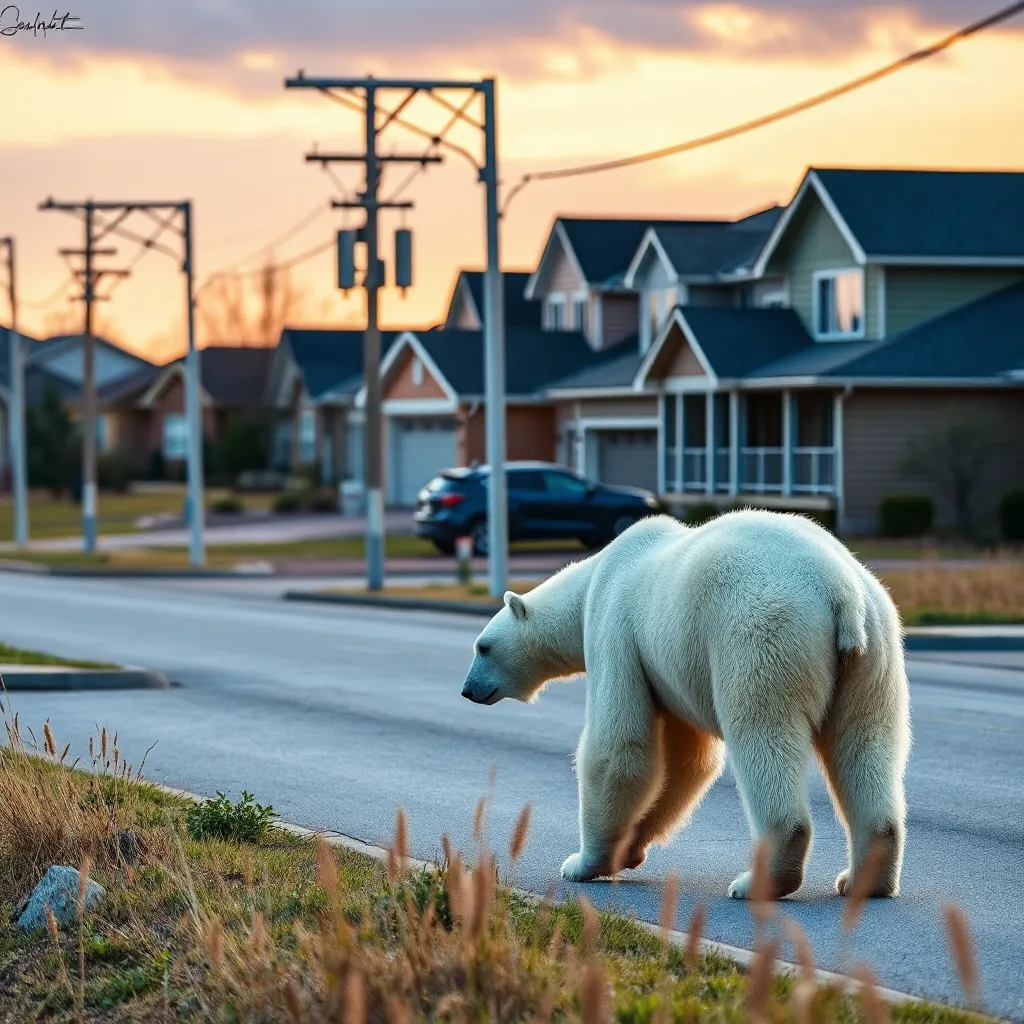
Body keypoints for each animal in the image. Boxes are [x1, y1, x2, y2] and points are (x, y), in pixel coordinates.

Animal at [460, 509, 911, 900]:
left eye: (483, 647)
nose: (467, 690)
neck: (592, 580)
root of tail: (839, 589)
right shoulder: (669, 668)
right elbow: (687, 761)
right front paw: (629, 848)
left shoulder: (615, 630)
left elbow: (617, 747)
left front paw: (582, 863)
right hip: (875, 653)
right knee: (864, 743)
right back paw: (862, 878)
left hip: (760, 633)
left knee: (761, 732)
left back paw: (757, 881)